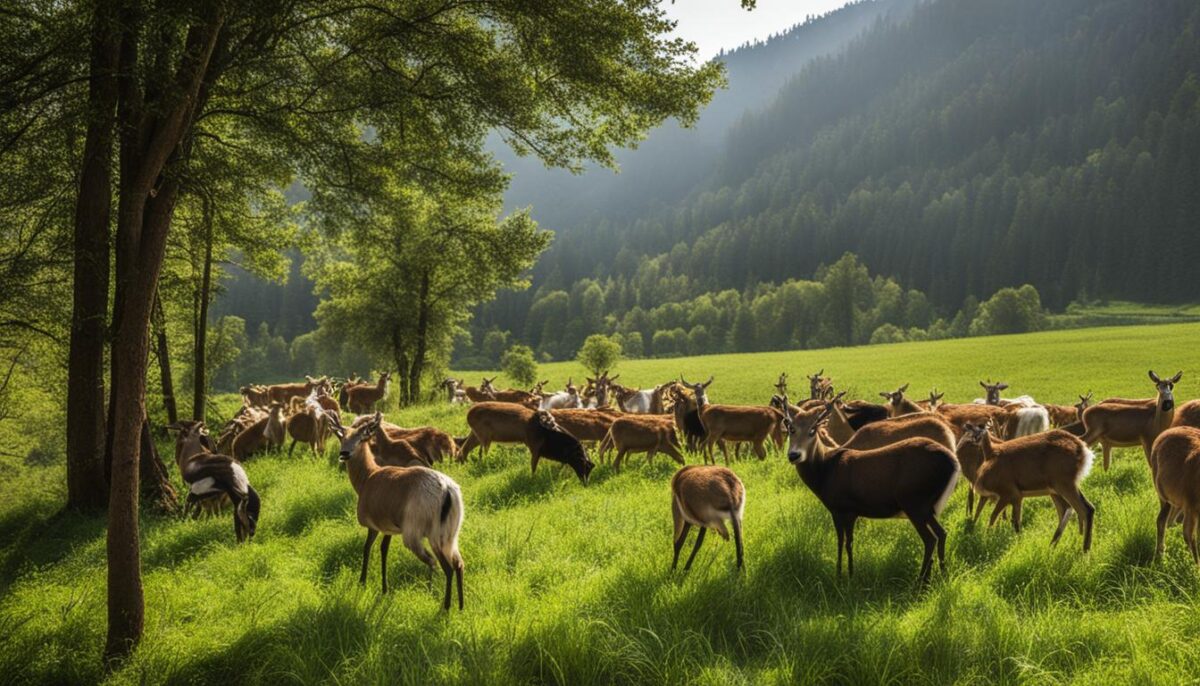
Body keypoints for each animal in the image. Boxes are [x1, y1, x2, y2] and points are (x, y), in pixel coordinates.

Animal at [335, 413, 464, 609]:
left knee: (439, 563)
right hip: (450, 533)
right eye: (342, 437)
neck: (367, 478)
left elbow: (367, 548)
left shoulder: (374, 524)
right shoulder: (390, 528)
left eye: (360, 438)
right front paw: (384, 588)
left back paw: (442, 603)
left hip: (420, 532)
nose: (344, 454)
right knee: (458, 563)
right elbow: (384, 550)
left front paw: (362, 582)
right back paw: (461, 606)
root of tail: (447, 491)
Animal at [782, 401, 960, 584]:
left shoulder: (841, 508)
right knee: (942, 533)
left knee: (931, 538)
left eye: (813, 430)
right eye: (791, 429)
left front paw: (841, 576)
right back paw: (940, 575)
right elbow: (848, 542)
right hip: (927, 506)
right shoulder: (851, 511)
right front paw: (850, 573)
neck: (825, 471)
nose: (794, 455)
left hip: (914, 501)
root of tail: (954, 462)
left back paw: (919, 580)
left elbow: (841, 542)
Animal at [958, 422, 1096, 551]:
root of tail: (1083, 449)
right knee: (1067, 510)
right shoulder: (1016, 496)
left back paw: (1084, 551)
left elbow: (994, 517)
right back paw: (1053, 545)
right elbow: (1014, 521)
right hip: (1057, 488)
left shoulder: (1009, 492)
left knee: (1085, 509)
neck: (990, 456)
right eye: (970, 432)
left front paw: (987, 540)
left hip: (1064, 483)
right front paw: (1016, 544)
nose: (974, 439)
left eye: (980, 431)